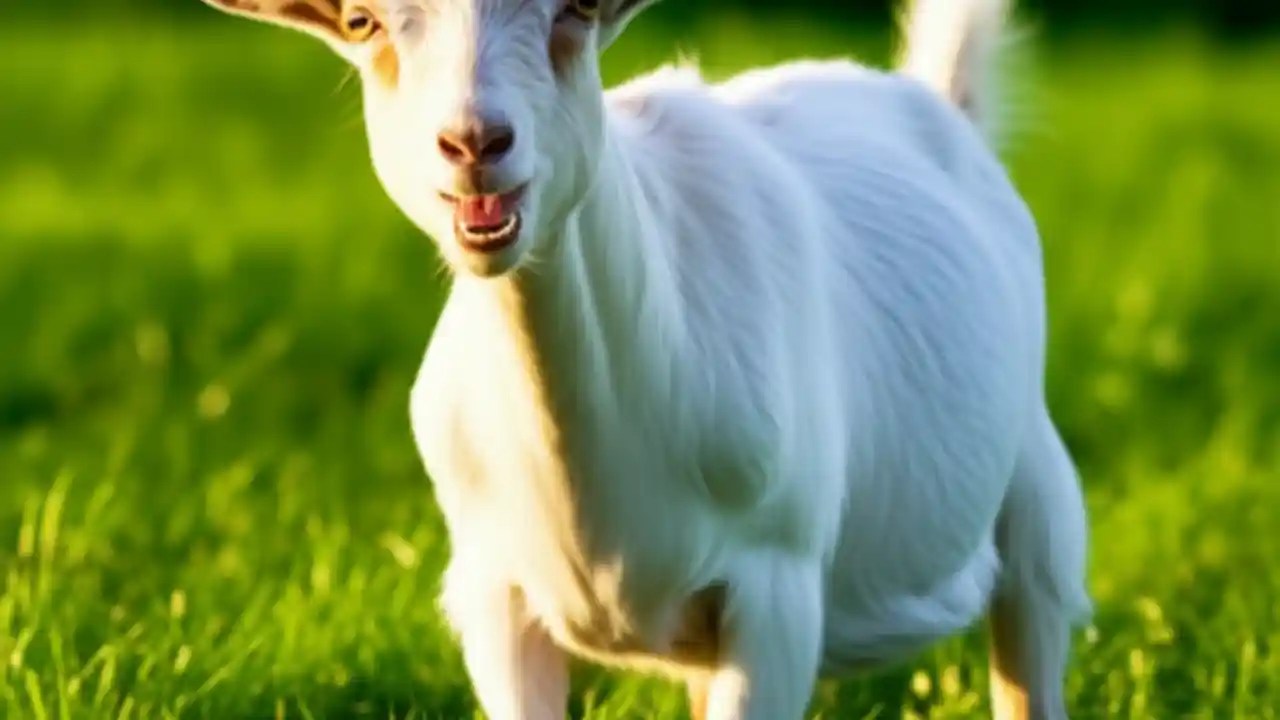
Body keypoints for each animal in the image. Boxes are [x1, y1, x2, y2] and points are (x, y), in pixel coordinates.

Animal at [200, 0, 1092, 717]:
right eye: (364, 21)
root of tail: (932, 101)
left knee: (1032, 645)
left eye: (575, 10)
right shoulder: (494, 596)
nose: (475, 141)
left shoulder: (779, 591)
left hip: (1039, 504)